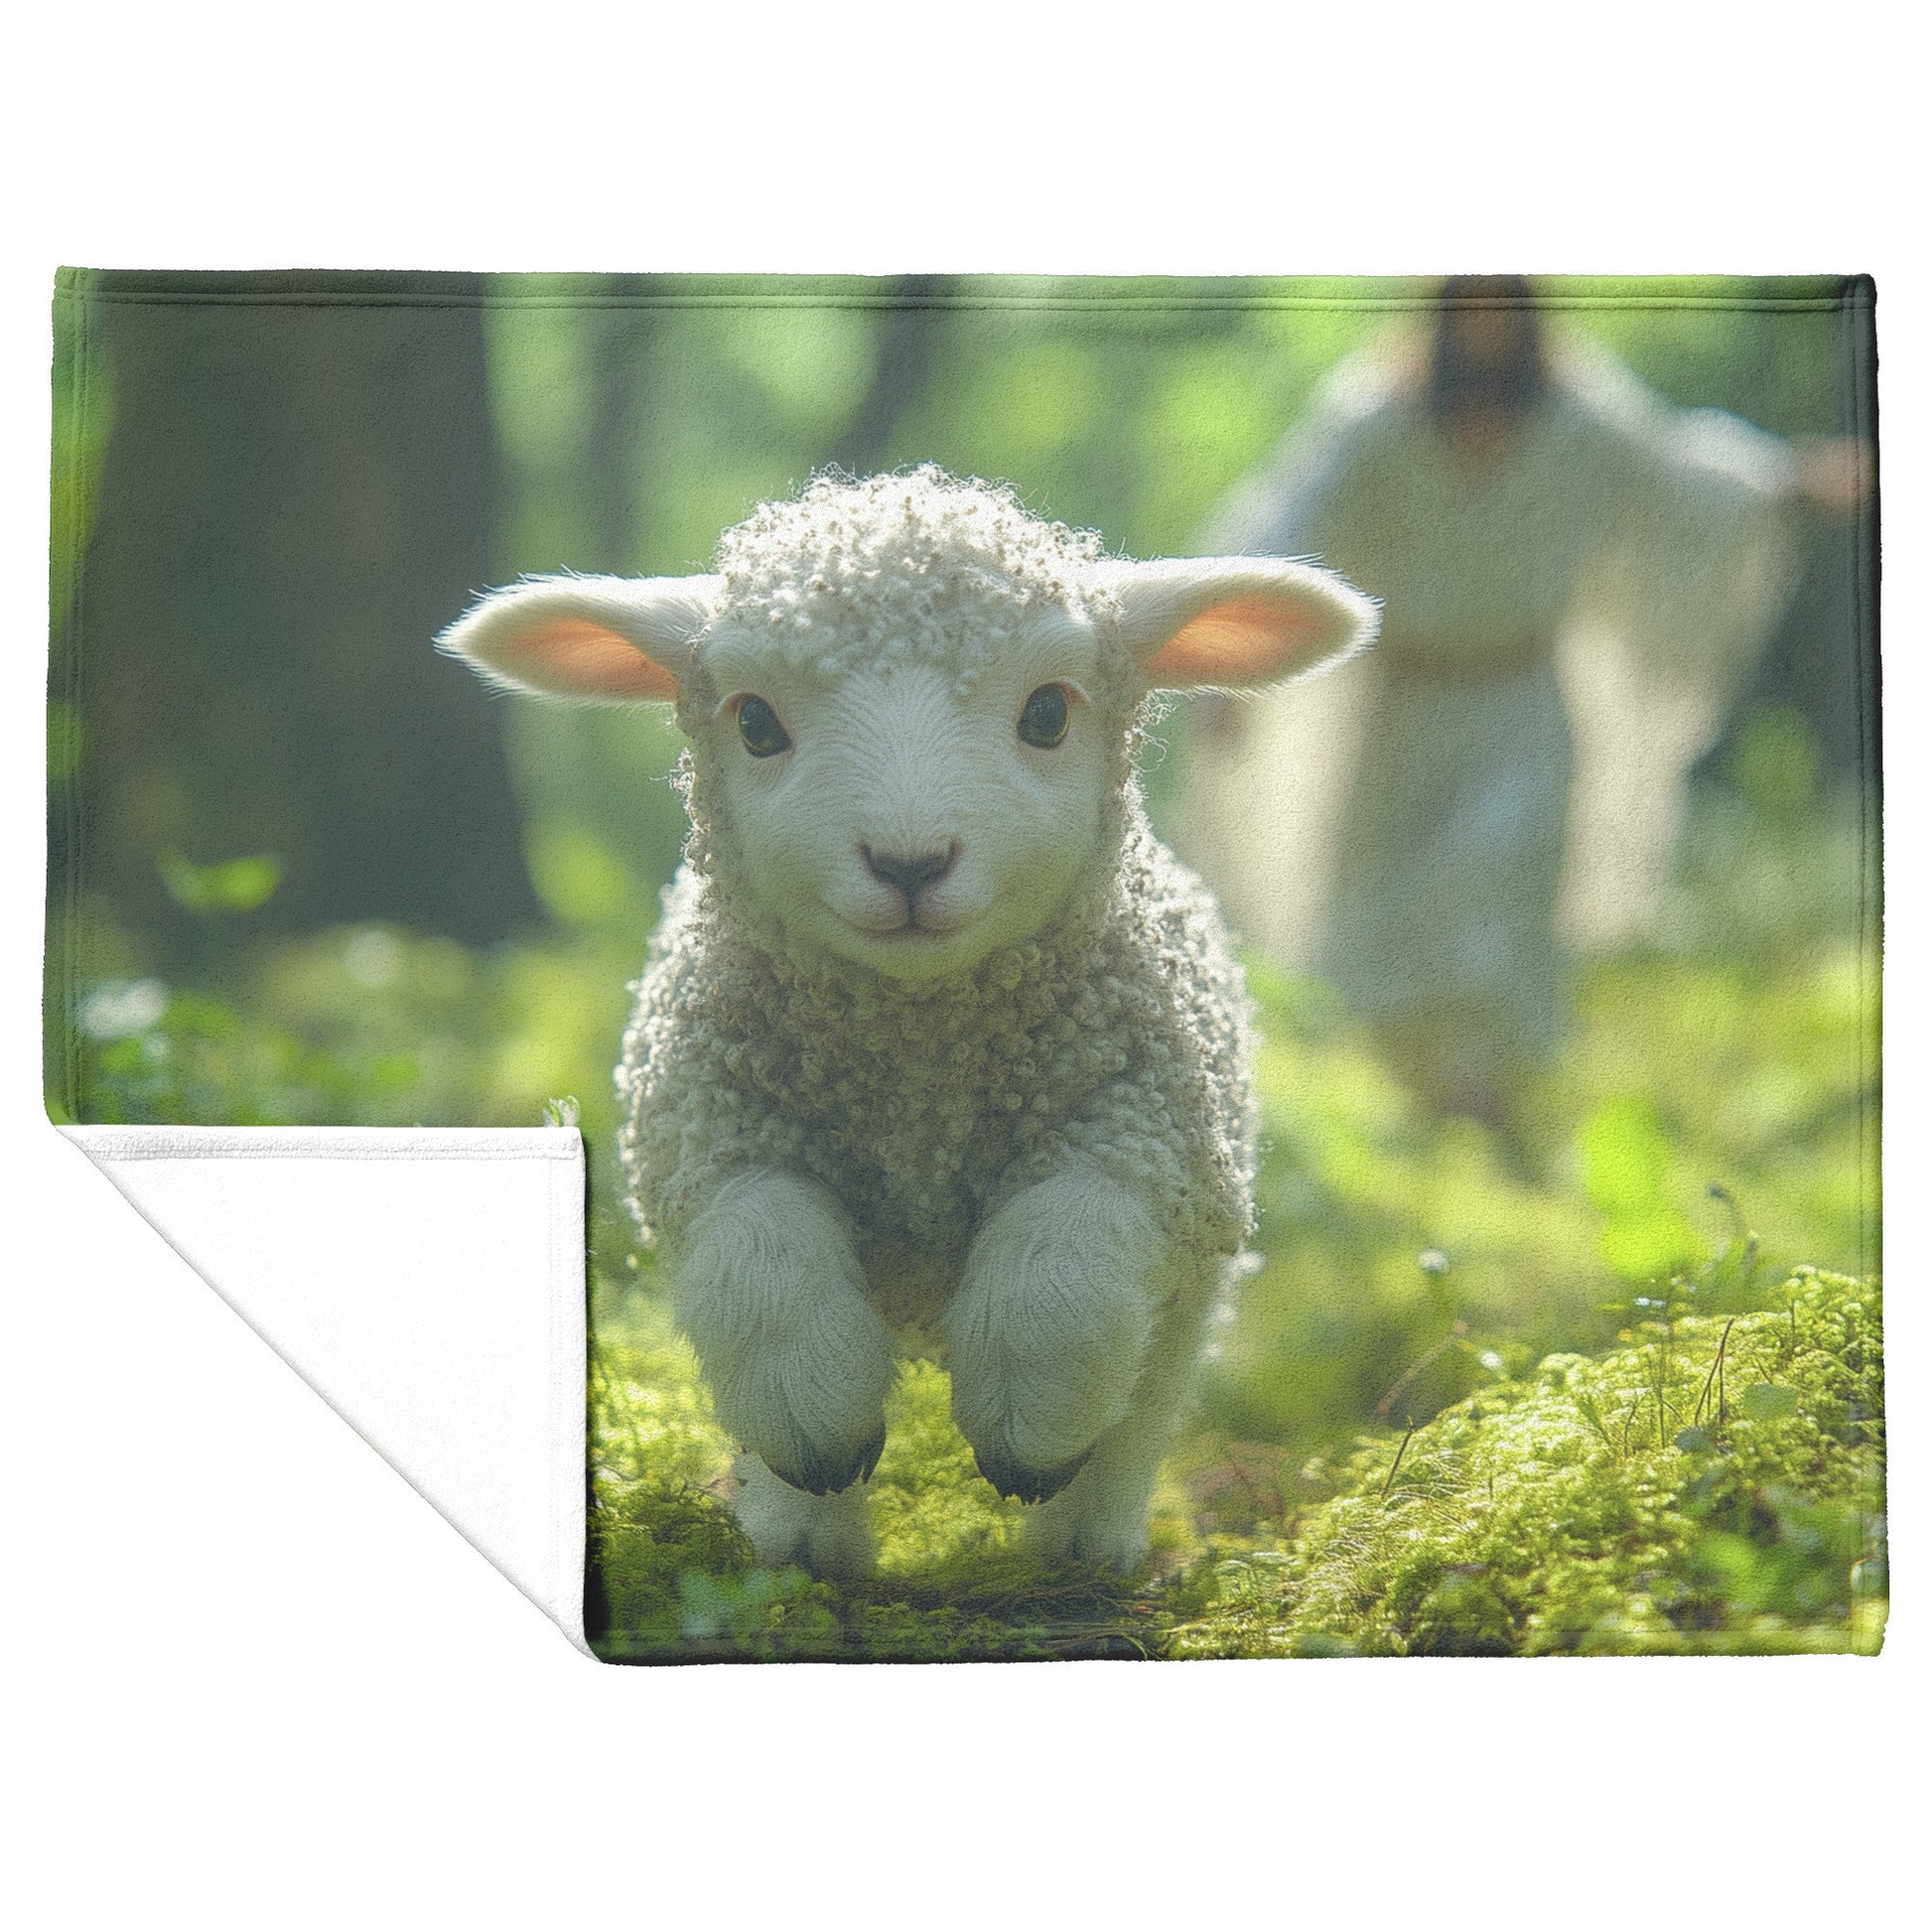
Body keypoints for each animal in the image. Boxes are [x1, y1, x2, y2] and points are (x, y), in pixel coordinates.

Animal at [441, 467, 1377, 1578]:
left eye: (1048, 713)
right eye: (755, 724)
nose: (909, 862)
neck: (918, 1067)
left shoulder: (1147, 1133)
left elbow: (1063, 1265)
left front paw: (1025, 1432)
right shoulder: (712, 1130)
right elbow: (760, 1265)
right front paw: (816, 1433)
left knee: (1146, 1399)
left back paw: (1082, 1542)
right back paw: (804, 1540)